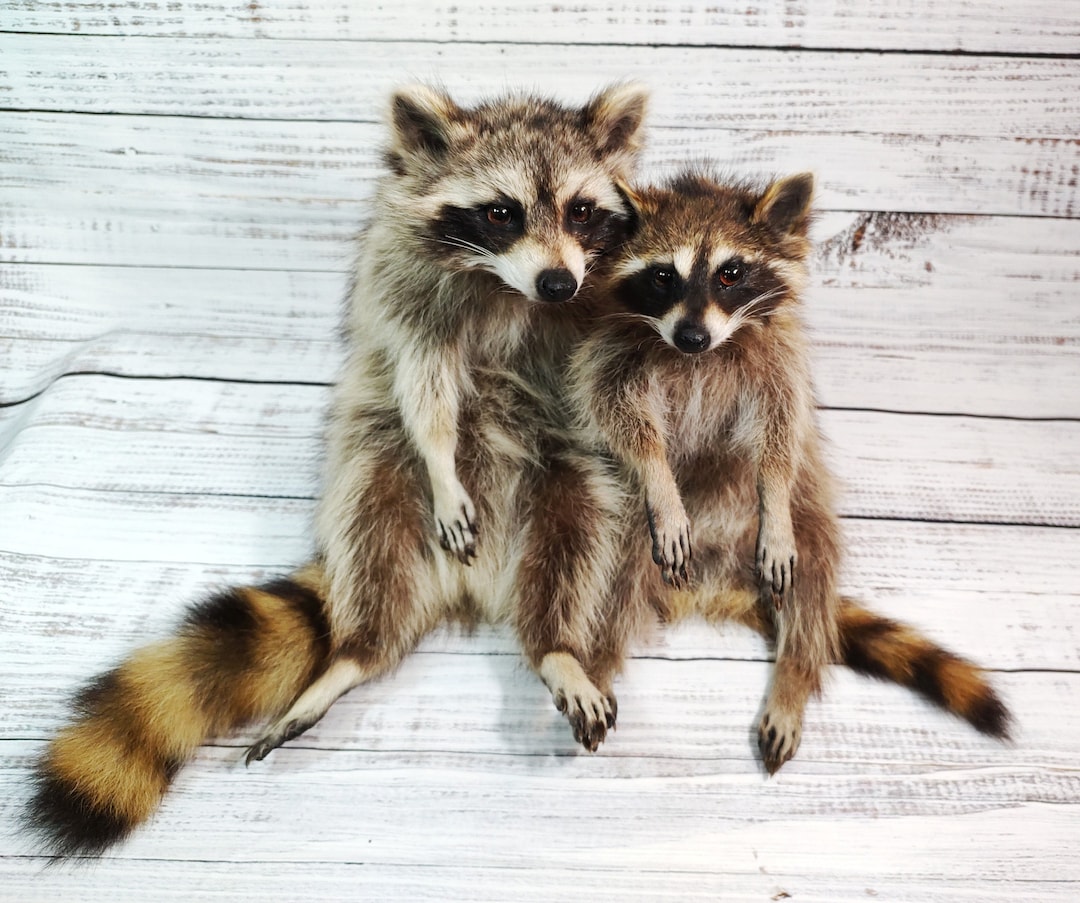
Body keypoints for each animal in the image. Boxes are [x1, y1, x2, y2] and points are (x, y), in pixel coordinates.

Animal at [24, 83, 649, 857]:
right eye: (501, 212)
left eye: (581, 210)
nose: (559, 282)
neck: (507, 288)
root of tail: (472, 590)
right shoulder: (408, 288)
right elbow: (422, 384)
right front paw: (441, 457)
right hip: (377, 468)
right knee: (371, 527)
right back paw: (358, 652)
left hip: (564, 485)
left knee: (584, 534)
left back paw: (559, 646)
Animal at [568, 170, 1011, 773]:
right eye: (663, 275)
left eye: (731, 272)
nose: (691, 337)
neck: (704, 354)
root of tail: (716, 588)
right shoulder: (617, 351)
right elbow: (622, 420)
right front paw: (659, 478)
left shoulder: (779, 358)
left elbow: (780, 436)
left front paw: (773, 492)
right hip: (640, 539)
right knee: (616, 573)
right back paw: (595, 665)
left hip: (805, 525)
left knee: (814, 579)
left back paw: (792, 679)